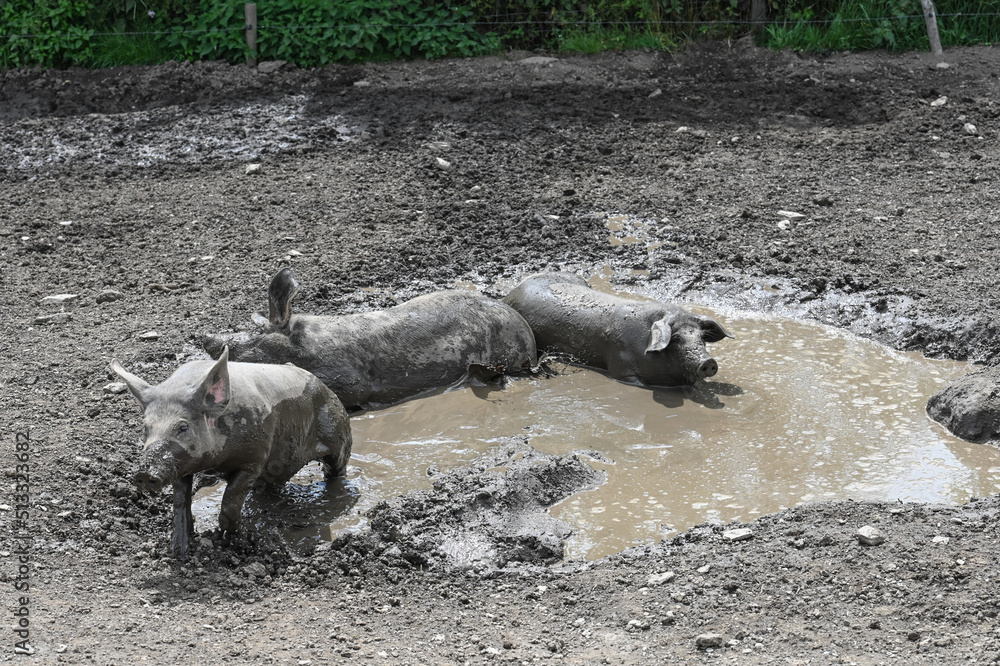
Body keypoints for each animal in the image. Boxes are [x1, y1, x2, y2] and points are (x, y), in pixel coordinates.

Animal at [110, 347, 352, 558]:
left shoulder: (254, 458)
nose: (143, 473)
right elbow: (180, 503)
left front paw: (232, 539)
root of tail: (323, 384)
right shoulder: (181, 468)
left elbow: (231, 501)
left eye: (182, 427)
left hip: (340, 431)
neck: (217, 461)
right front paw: (179, 551)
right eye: (145, 428)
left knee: (337, 469)